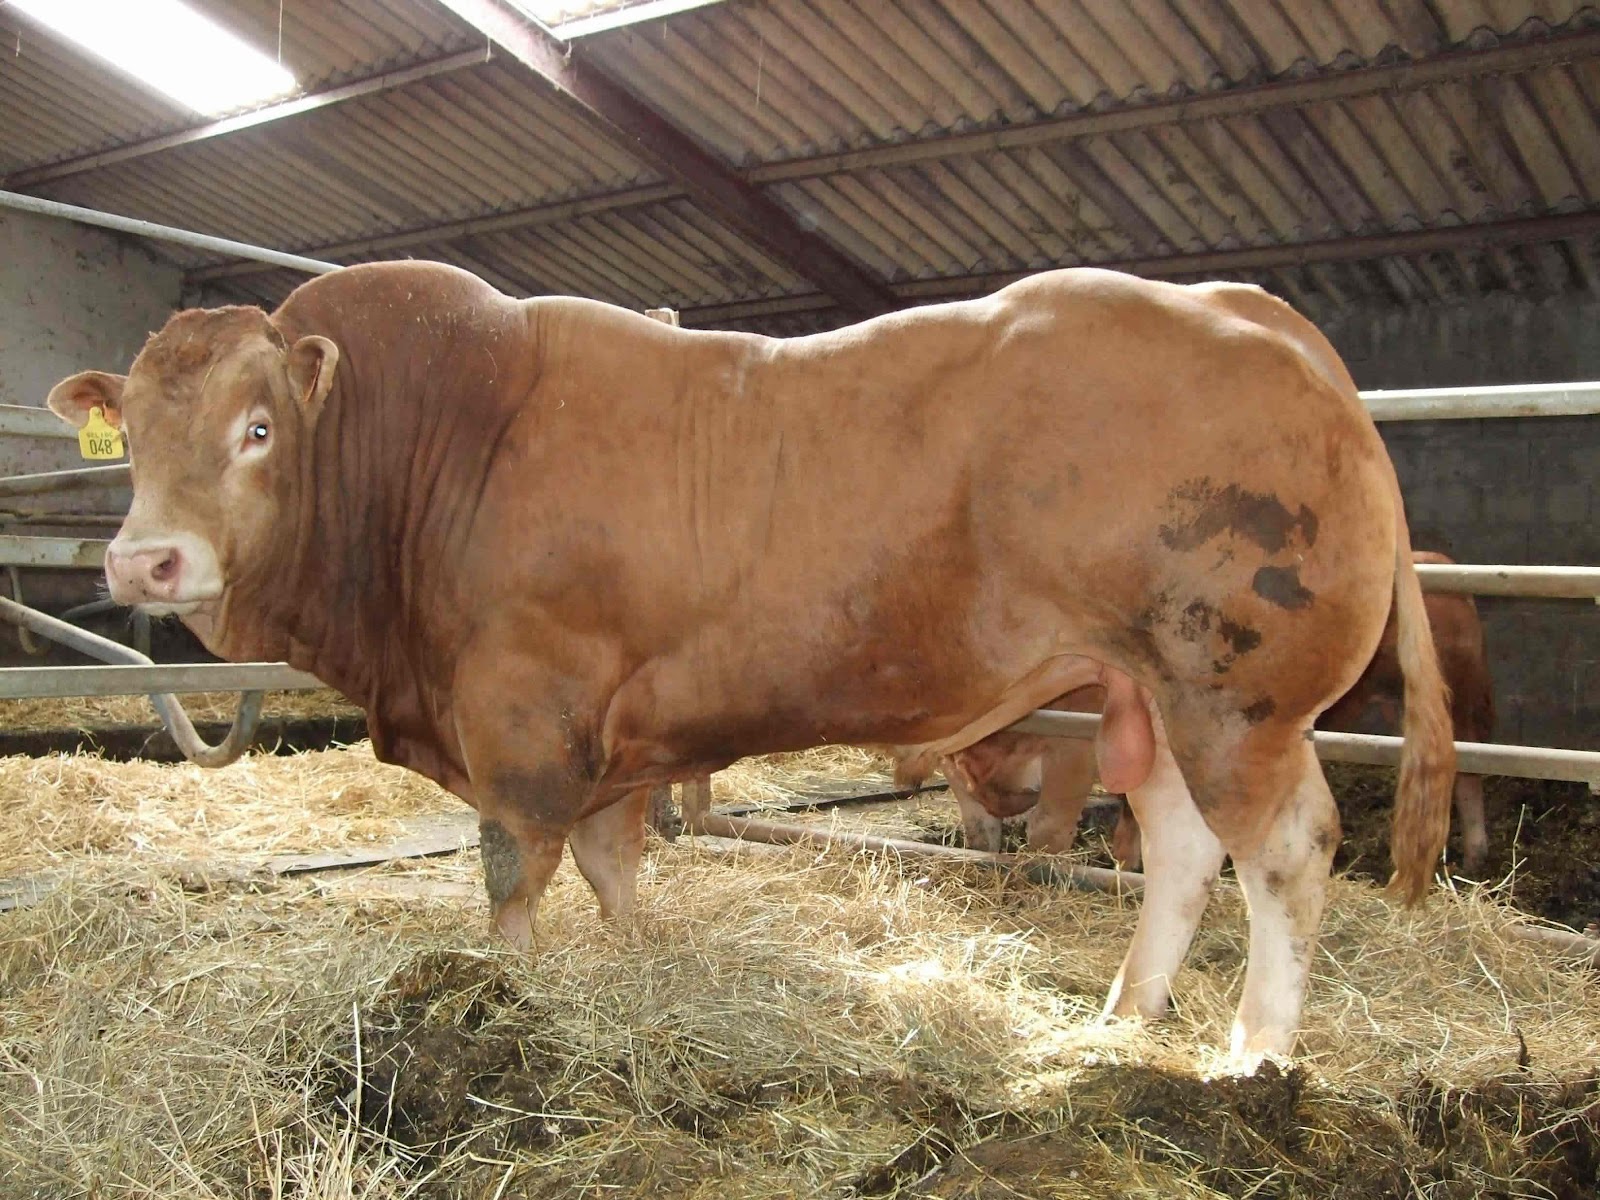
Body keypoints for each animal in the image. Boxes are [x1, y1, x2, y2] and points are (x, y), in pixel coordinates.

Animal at [46, 260, 1454, 1068]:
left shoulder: (523, 709)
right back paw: (1127, 1011)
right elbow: (612, 861)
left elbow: (514, 870)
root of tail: (1245, 309)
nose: (146, 562)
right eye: (135, 437)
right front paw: (631, 967)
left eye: (258, 428)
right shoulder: (609, 735)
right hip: (1139, 692)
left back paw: (1255, 1052)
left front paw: (498, 996)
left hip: (1234, 691)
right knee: (1177, 843)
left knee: (1287, 851)